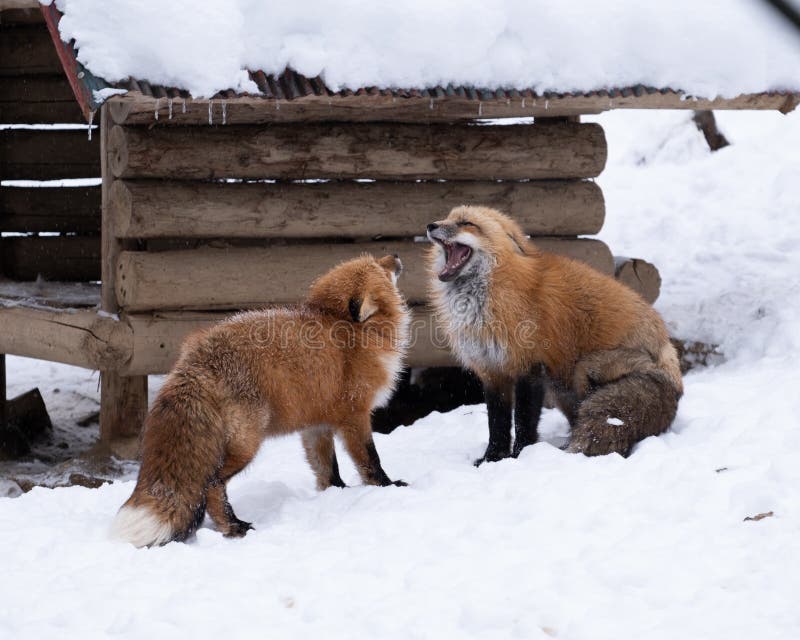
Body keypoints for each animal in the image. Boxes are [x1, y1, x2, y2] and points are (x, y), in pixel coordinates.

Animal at [111, 254, 410, 547]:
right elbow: (371, 461)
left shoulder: (317, 424)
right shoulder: (355, 415)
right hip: (247, 444)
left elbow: (328, 470)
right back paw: (234, 527)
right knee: (212, 484)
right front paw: (389, 487)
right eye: (380, 266)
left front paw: (336, 494)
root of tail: (196, 360)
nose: (396, 256)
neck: (345, 325)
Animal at [427, 206, 683, 464]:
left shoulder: (530, 366)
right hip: (561, 386)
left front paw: (521, 455)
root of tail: (676, 379)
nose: (430, 225)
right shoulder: (492, 370)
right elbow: (497, 423)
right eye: (447, 218)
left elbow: (524, 420)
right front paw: (492, 459)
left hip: (584, 369)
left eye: (467, 223)